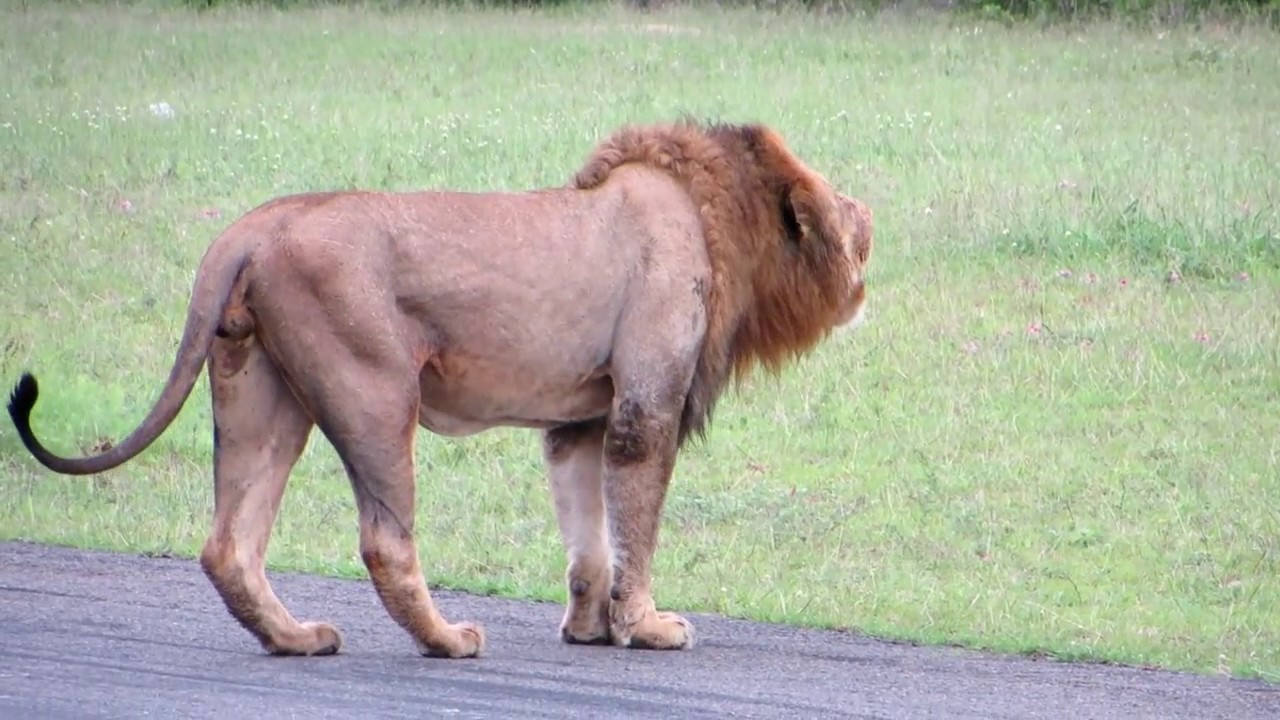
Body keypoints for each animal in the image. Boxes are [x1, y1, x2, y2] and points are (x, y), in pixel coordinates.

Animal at [7, 118, 873, 659]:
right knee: (384, 540)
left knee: (231, 543)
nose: (870, 211)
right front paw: (647, 627)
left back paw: (296, 640)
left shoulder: (581, 420)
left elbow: (587, 535)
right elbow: (633, 527)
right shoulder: (643, 409)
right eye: (840, 201)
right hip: (374, 392)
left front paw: (588, 627)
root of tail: (255, 226)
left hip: (262, 395)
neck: (712, 219)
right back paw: (448, 641)